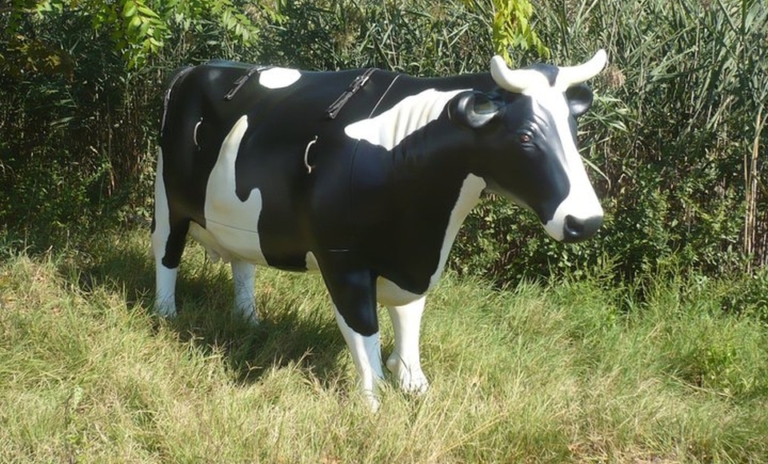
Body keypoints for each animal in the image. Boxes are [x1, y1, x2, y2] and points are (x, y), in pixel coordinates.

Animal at [152, 50, 607, 409]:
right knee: (166, 254)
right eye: (526, 136)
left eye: (573, 130)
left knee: (243, 263)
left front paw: (414, 383)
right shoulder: (344, 262)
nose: (585, 221)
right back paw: (165, 313)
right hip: (167, 201)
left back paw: (249, 319)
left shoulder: (414, 260)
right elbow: (363, 328)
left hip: (239, 224)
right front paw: (373, 397)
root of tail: (192, 69)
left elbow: (409, 318)